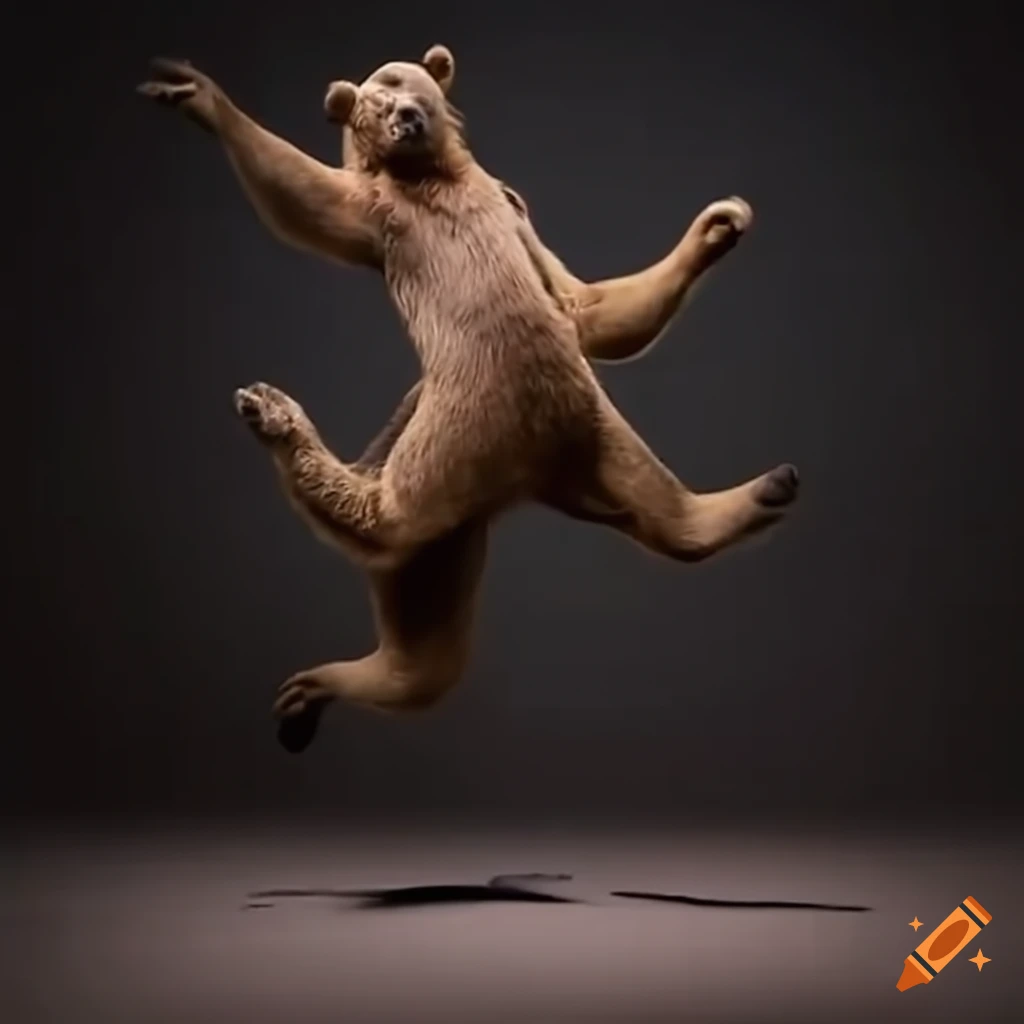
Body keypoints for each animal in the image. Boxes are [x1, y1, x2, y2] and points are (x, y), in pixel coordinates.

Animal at [138, 49, 798, 753]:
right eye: (372, 100)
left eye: (402, 82)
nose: (404, 115)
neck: (437, 177)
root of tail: (518, 484)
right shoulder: (379, 213)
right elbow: (305, 193)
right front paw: (199, 96)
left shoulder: (513, 209)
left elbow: (585, 307)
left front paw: (718, 228)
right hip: (458, 425)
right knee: (395, 524)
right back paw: (278, 420)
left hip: (571, 439)